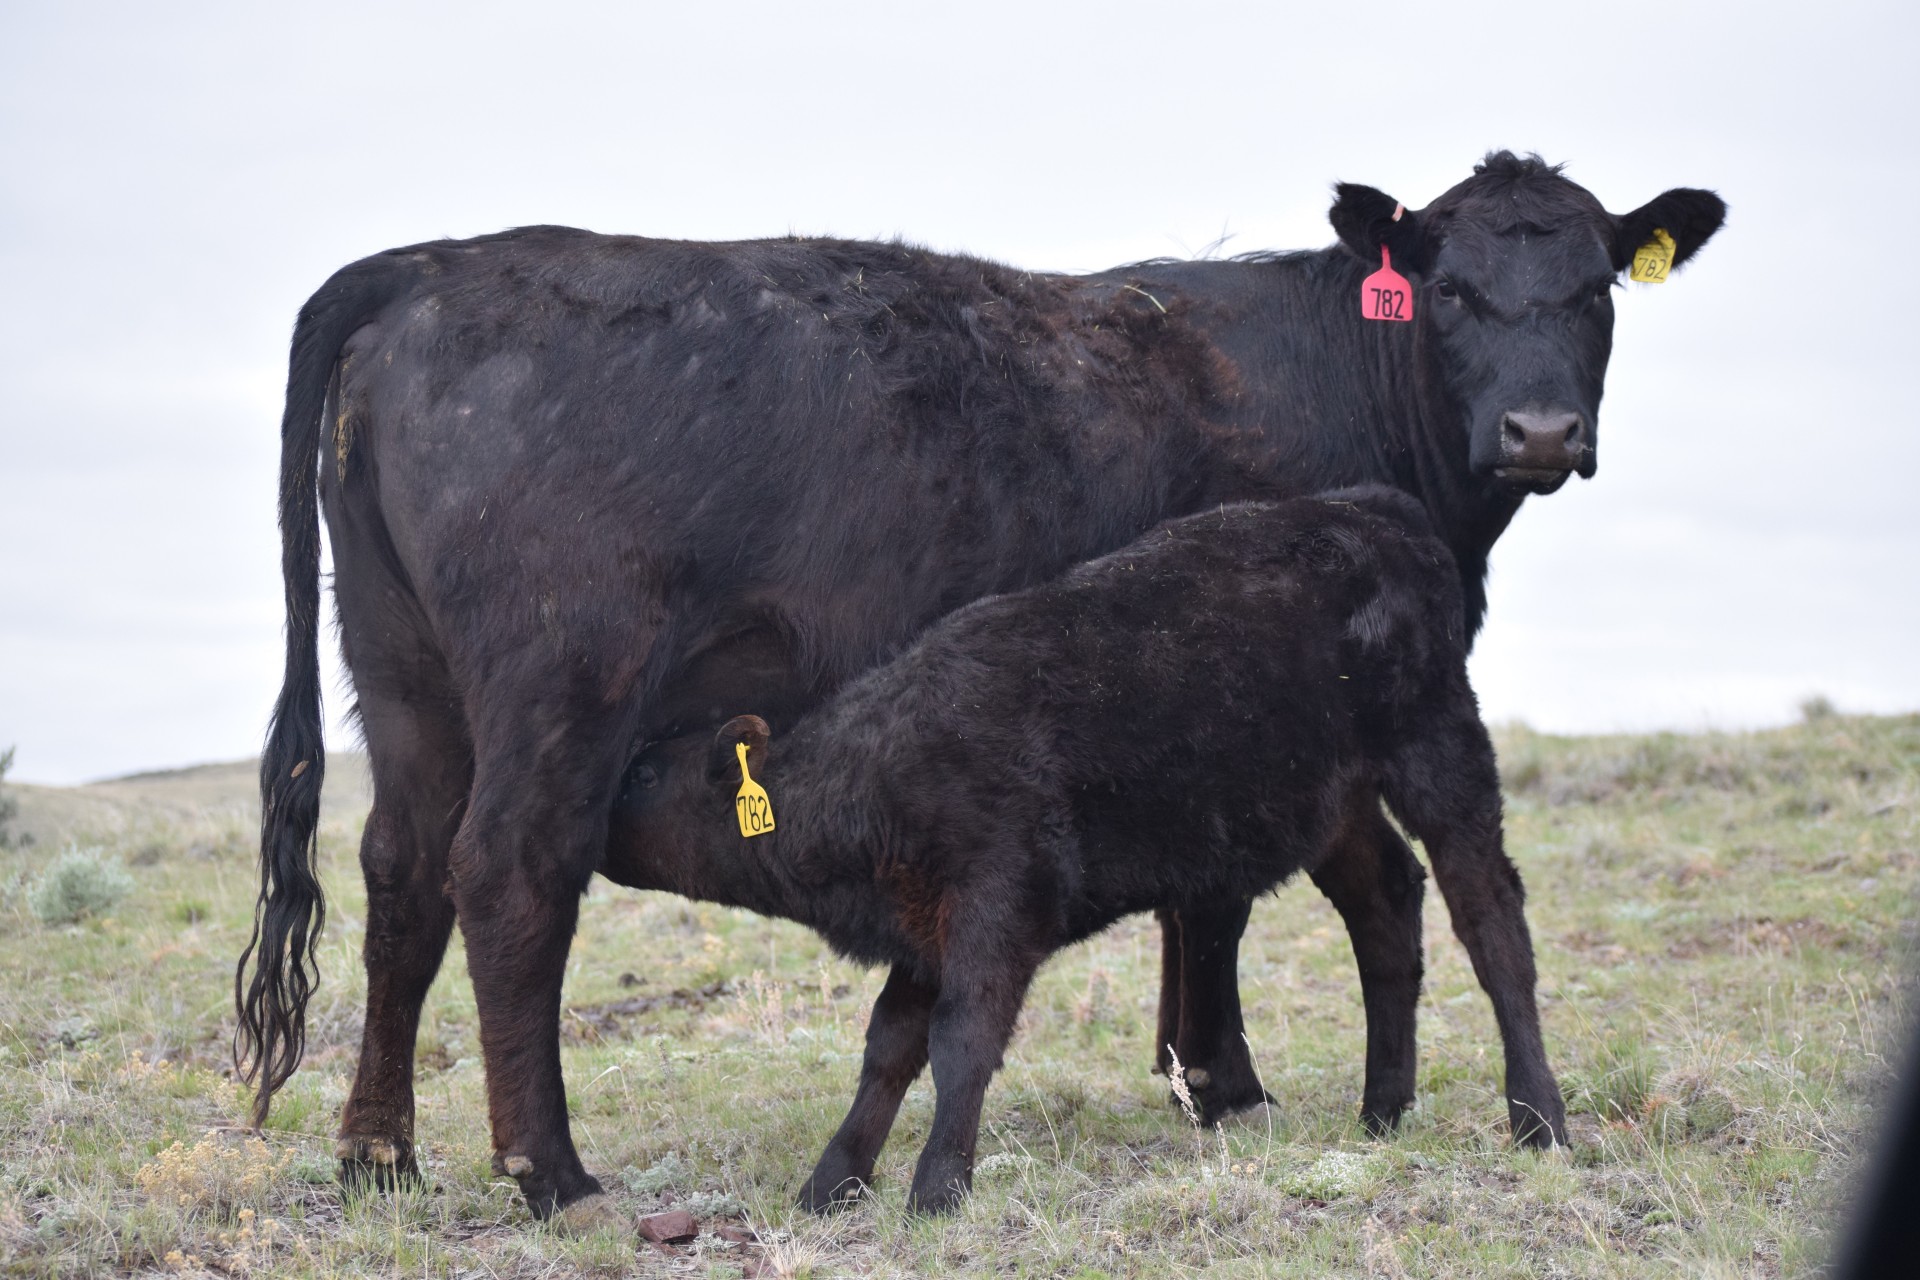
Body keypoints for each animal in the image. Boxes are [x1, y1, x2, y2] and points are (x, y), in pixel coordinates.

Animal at [604, 487, 1566, 1215]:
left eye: (644, 773)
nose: (590, 817)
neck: (880, 768)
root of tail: (1373, 507)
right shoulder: (926, 928)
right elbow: (889, 1046)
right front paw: (831, 1181)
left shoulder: (999, 906)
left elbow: (962, 1039)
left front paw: (936, 1188)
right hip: (1332, 803)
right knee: (1387, 906)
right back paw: (1383, 1111)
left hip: (1440, 749)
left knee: (1491, 917)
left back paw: (1538, 1117)